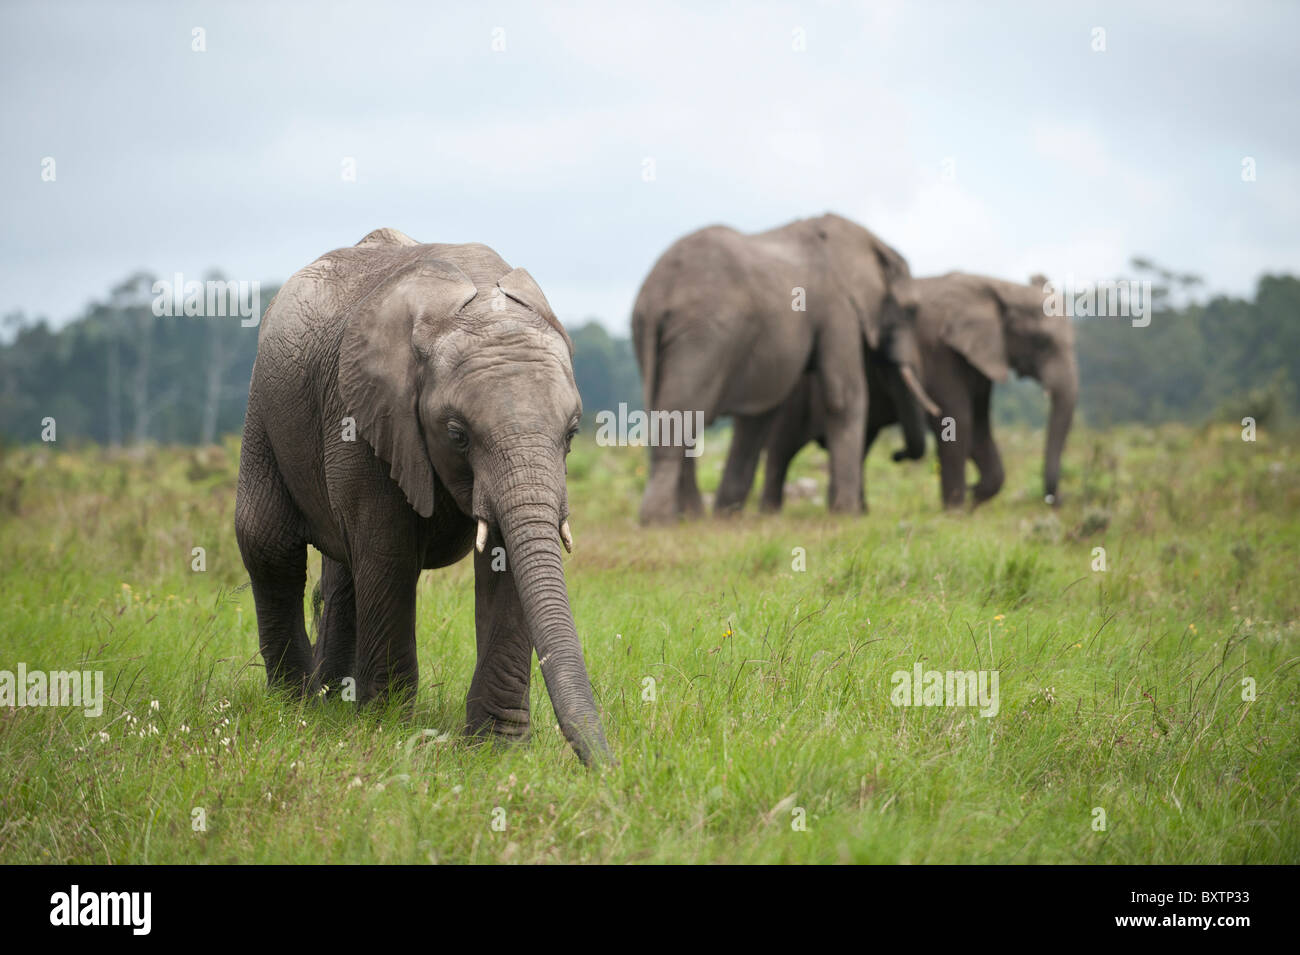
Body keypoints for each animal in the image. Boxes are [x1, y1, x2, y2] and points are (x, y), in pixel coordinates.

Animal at [234, 227, 611, 766]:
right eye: (457, 434)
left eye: (573, 432)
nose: (610, 770)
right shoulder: (363, 413)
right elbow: (388, 554)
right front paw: (388, 728)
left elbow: (507, 563)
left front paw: (496, 749)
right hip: (264, 405)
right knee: (269, 544)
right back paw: (297, 704)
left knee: (342, 569)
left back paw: (332, 700)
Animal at [632, 213, 938, 523]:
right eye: (911, 310)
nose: (897, 455)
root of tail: (658, 291)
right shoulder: (838, 306)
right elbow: (843, 397)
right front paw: (848, 516)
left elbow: (758, 415)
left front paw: (727, 517)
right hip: (702, 337)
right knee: (683, 415)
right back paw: (662, 521)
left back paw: (690, 517)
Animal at [759, 272, 1079, 511]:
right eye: (1043, 342)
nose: (1055, 501)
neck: (999, 288)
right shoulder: (940, 352)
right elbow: (955, 419)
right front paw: (955, 510)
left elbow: (977, 426)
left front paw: (973, 497)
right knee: (784, 444)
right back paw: (771, 512)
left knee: (859, 442)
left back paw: (857, 511)